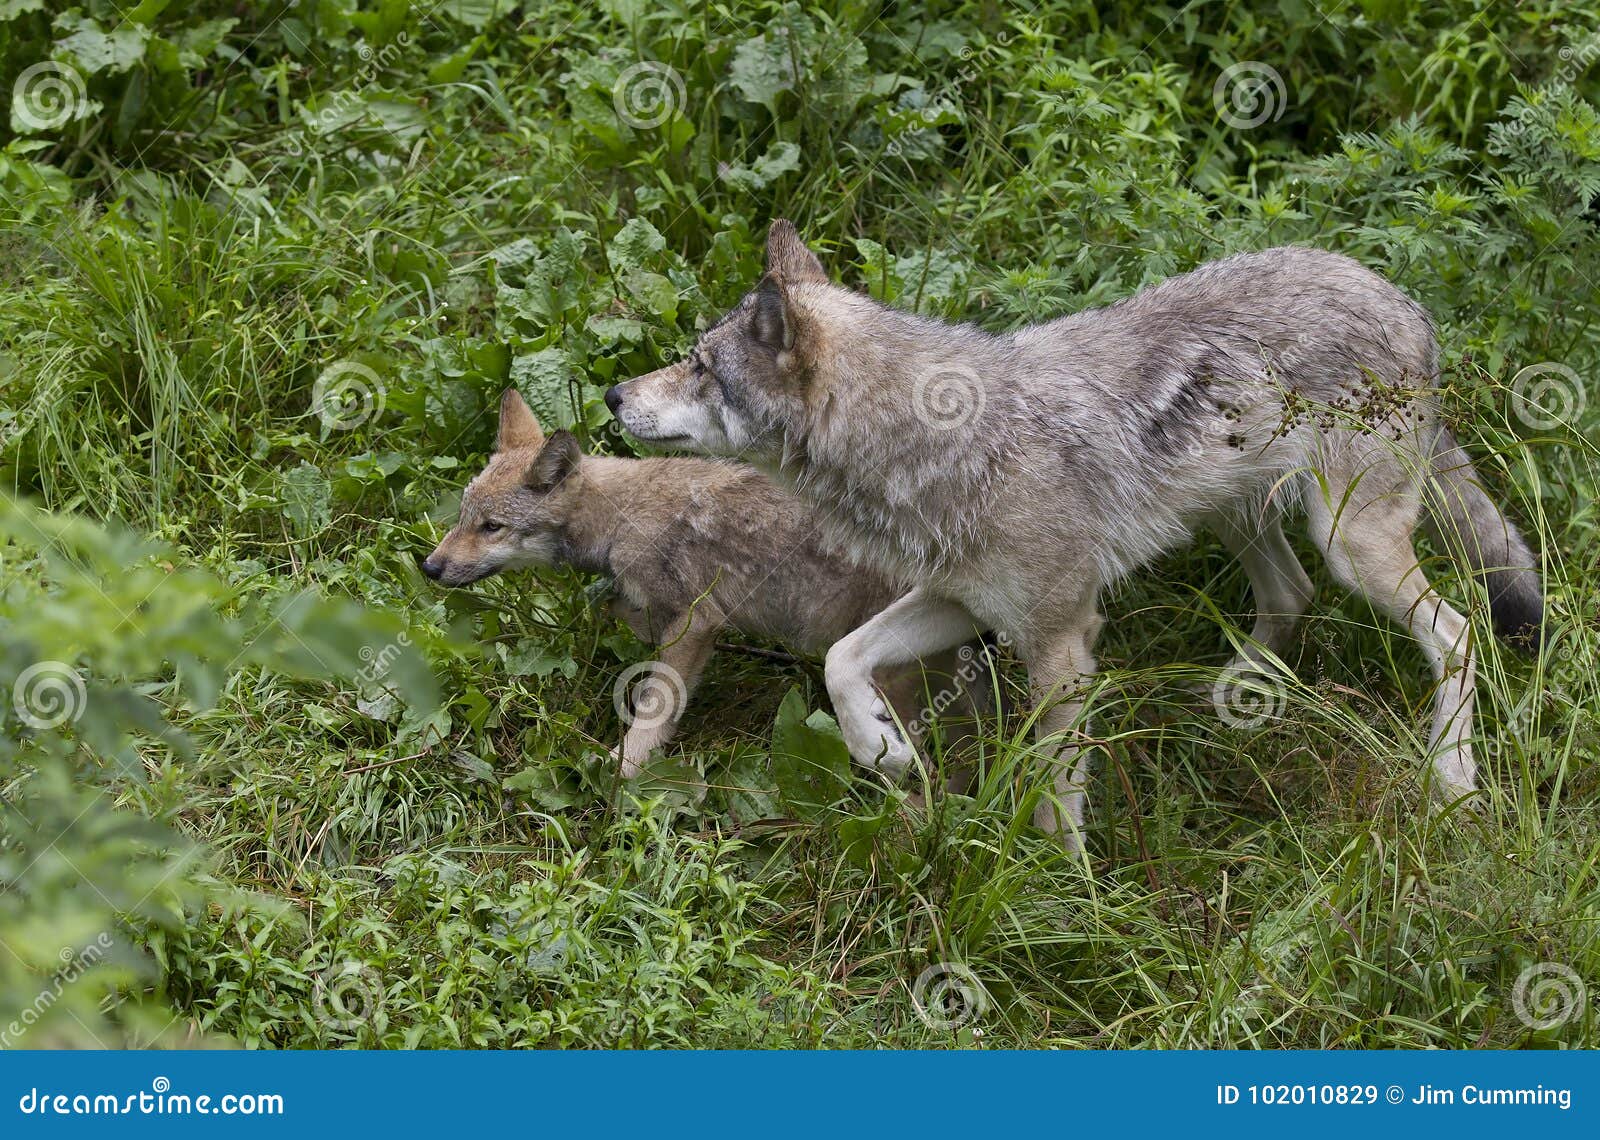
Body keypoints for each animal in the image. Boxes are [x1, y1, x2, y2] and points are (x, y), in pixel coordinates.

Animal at [421, 388, 988, 779]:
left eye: (491, 527)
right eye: (463, 518)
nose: (429, 567)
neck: (621, 518)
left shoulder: (697, 621)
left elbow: (653, 706)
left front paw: (622, 771)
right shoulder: (677, 617)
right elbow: (619, 611)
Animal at [604, 220, 1543, 846]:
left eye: (698, 365)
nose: (612, 396)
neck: (940, 444)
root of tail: (1406, 299)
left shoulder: (1060, 644)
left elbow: (1058, 803)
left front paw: (1065, 904)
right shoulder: (961, 601)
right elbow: (842, 660)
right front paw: (884, 749)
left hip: (1352, 544)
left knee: (1458, 634)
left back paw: (1454, 784)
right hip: (1241, 520)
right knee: (1292, 592)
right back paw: (1237, 698)